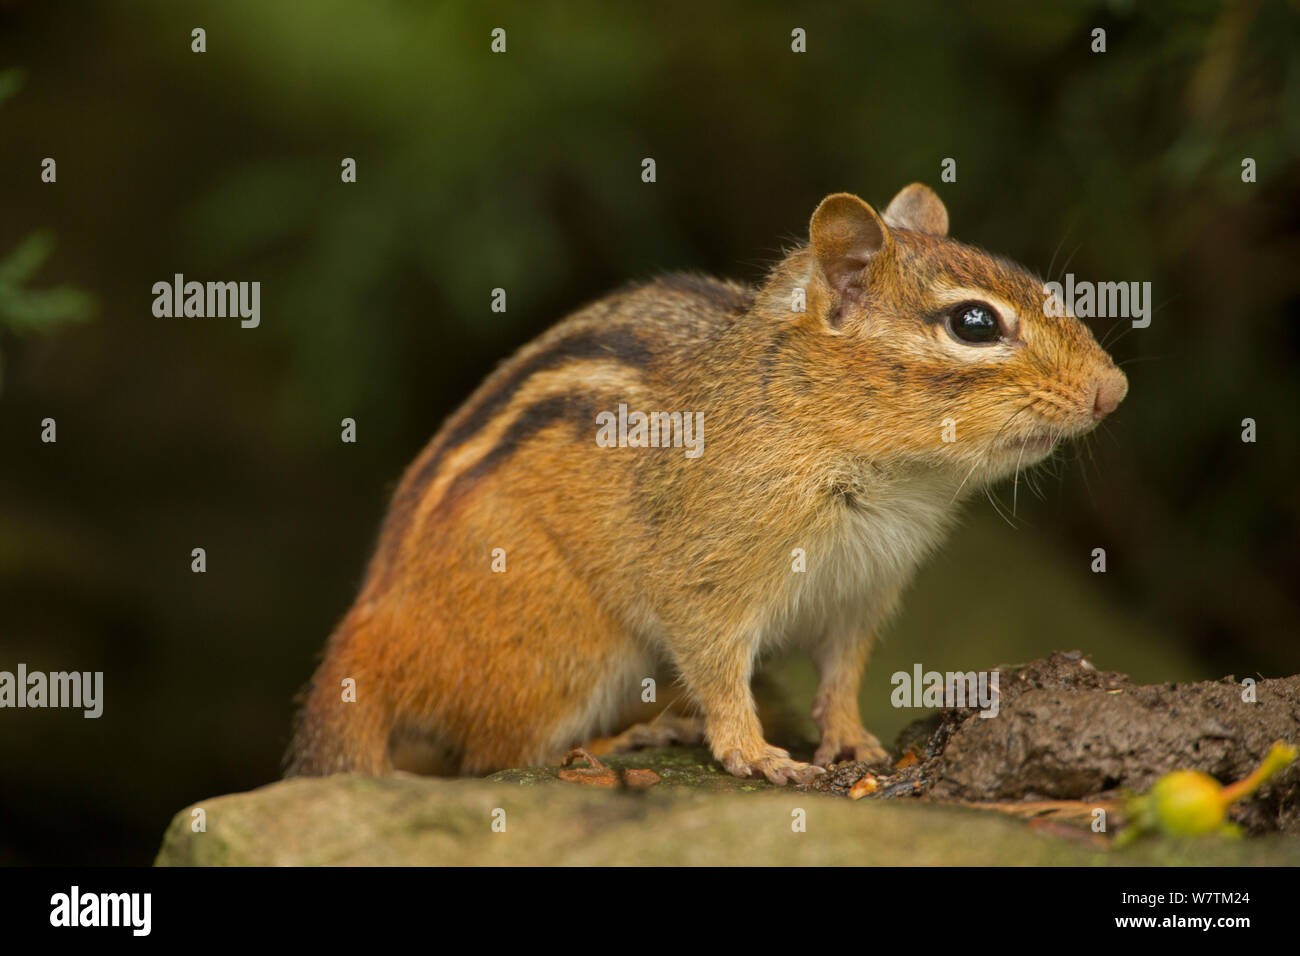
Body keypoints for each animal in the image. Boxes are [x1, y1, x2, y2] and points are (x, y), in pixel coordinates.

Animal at [286, 183, 1128, 785]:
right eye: (974, 324)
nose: (1112, 390)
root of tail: (371, 627)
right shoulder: (707, 574)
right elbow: (719, 666)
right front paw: (751, 751)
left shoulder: (860, 593)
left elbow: (842, 673)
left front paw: (851, 740)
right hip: (563, 641)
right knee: (501, 753)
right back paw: (634, 733)